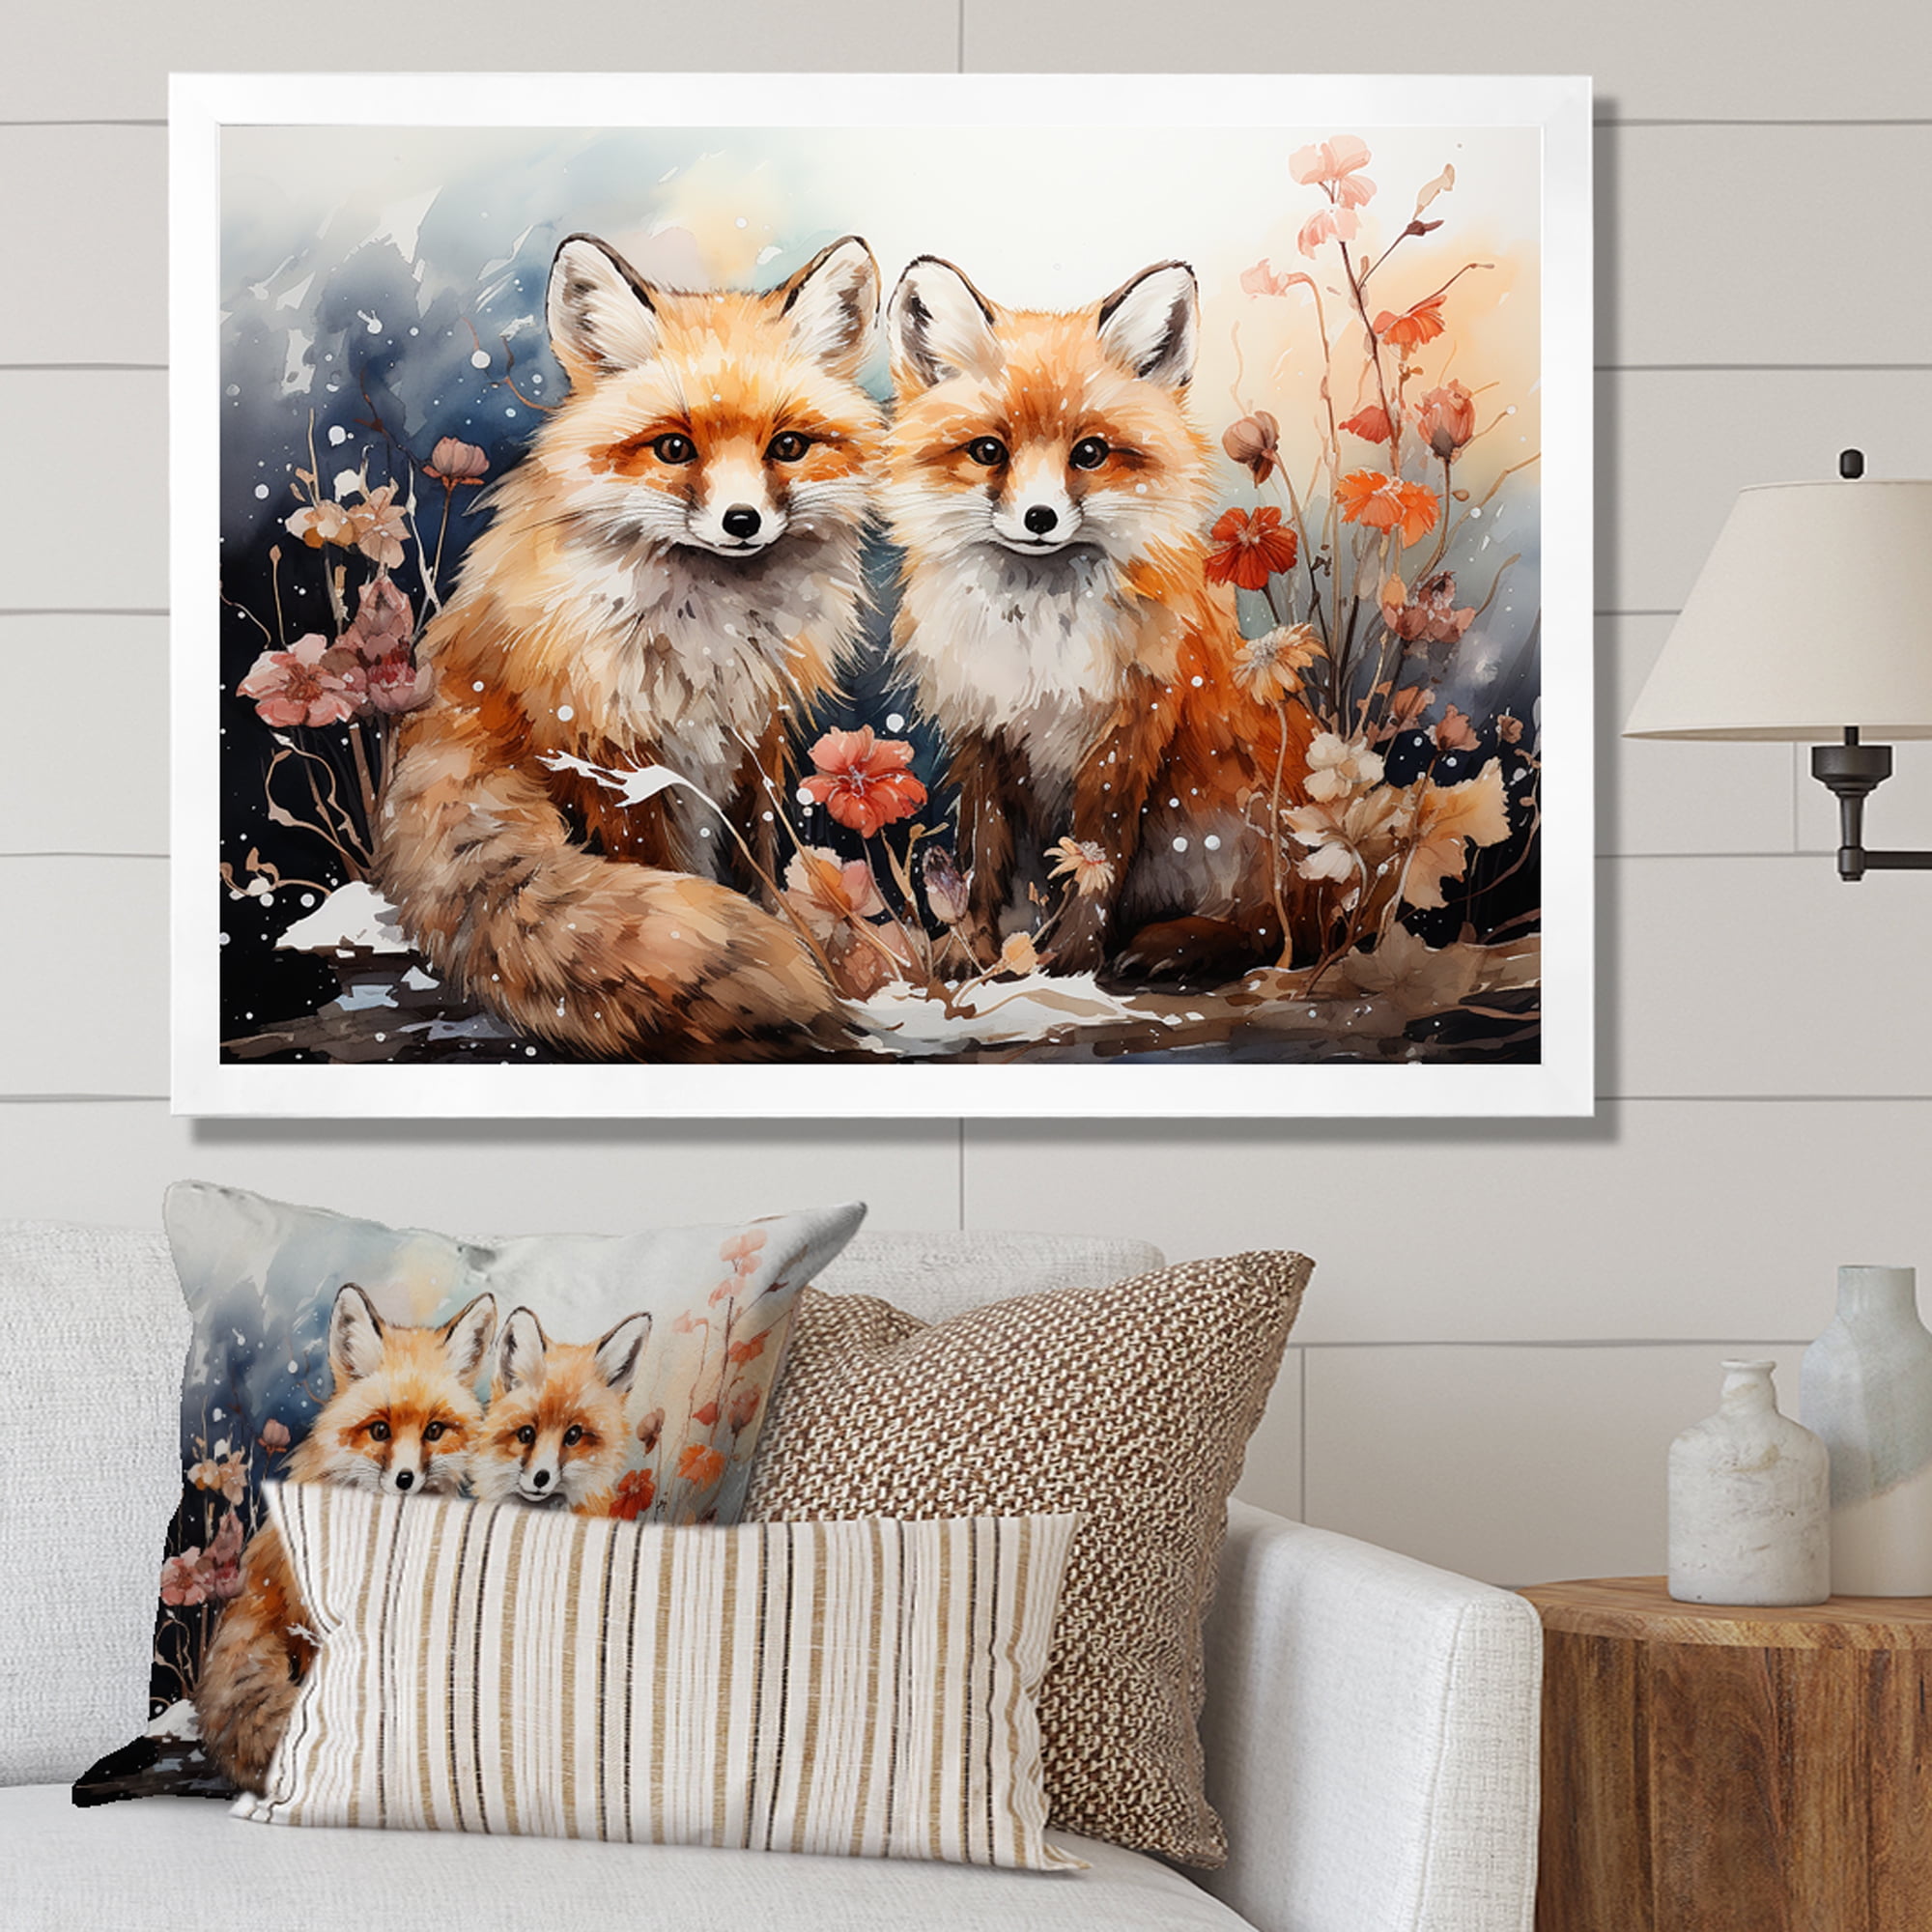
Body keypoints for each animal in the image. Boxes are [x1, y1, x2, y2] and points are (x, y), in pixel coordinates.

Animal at [376, 231, 886, 1059]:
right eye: (673, 448)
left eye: (788, 446)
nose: (742, 522)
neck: (710, 636)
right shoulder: (616, 752)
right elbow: (663, 869)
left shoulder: (752, 737)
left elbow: (756, 864)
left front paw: (791, 933)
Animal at [883, 255, 1316, 985]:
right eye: (988, 451)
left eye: (1089, 453)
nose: (1039, 518)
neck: (1033, 633)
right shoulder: (984, 733)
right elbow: (982, 855)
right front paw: (972, 951)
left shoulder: (1125, 732)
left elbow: (1096, 858)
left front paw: (1071, 960)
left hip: (1261, 828)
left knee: (1273, 932)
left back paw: (1178, 945)